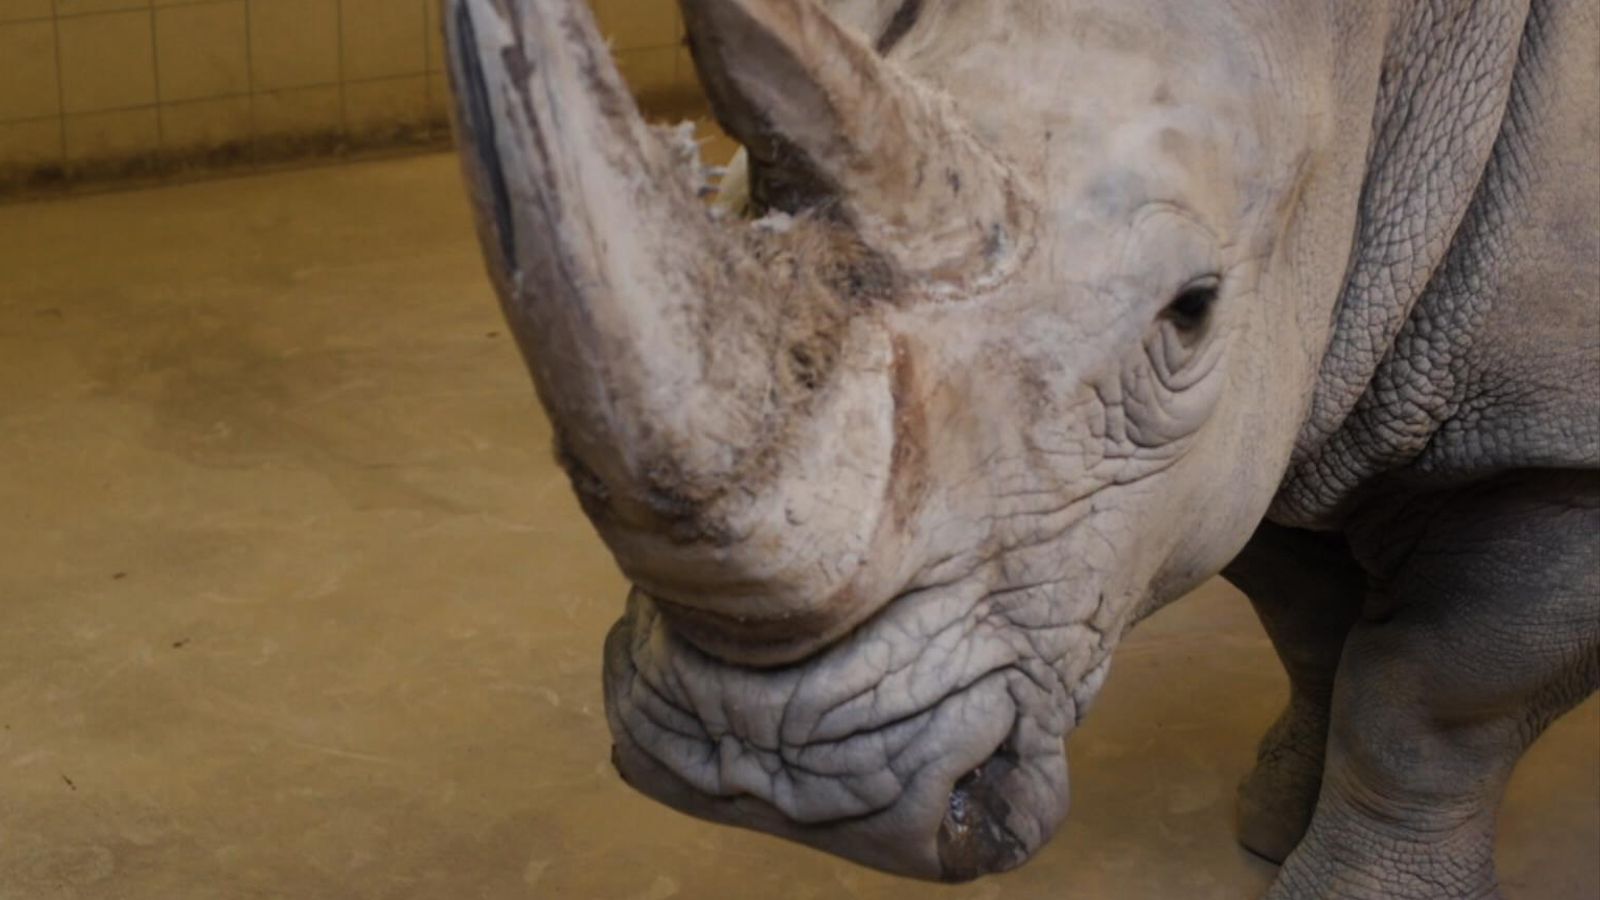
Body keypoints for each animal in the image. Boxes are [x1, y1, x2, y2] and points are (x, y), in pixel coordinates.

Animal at [441, 0, 1599, 895]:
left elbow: (1421, 707)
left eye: (1191, 312)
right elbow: (1311, 627)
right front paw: (1270, 824)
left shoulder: (1557, 439)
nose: (762, 767)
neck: (1387, 60)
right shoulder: (1286, 393)